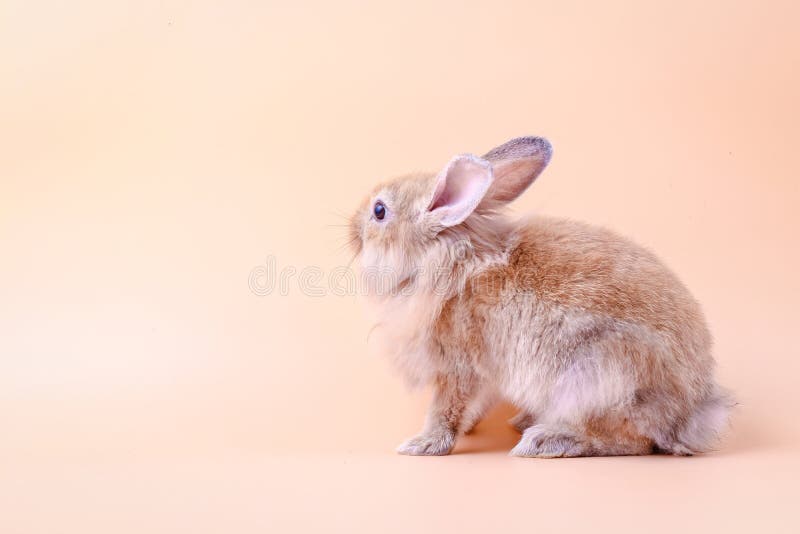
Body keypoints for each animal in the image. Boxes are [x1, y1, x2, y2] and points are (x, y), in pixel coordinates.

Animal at [348, 136, 732, 457]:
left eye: (379, 211)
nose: (353, 228)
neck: (446, 260)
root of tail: (690, 414)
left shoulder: (459, 369)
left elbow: (446, 411)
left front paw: (422, 445)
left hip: (602, 378)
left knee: (630, 441)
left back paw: (545, 441)